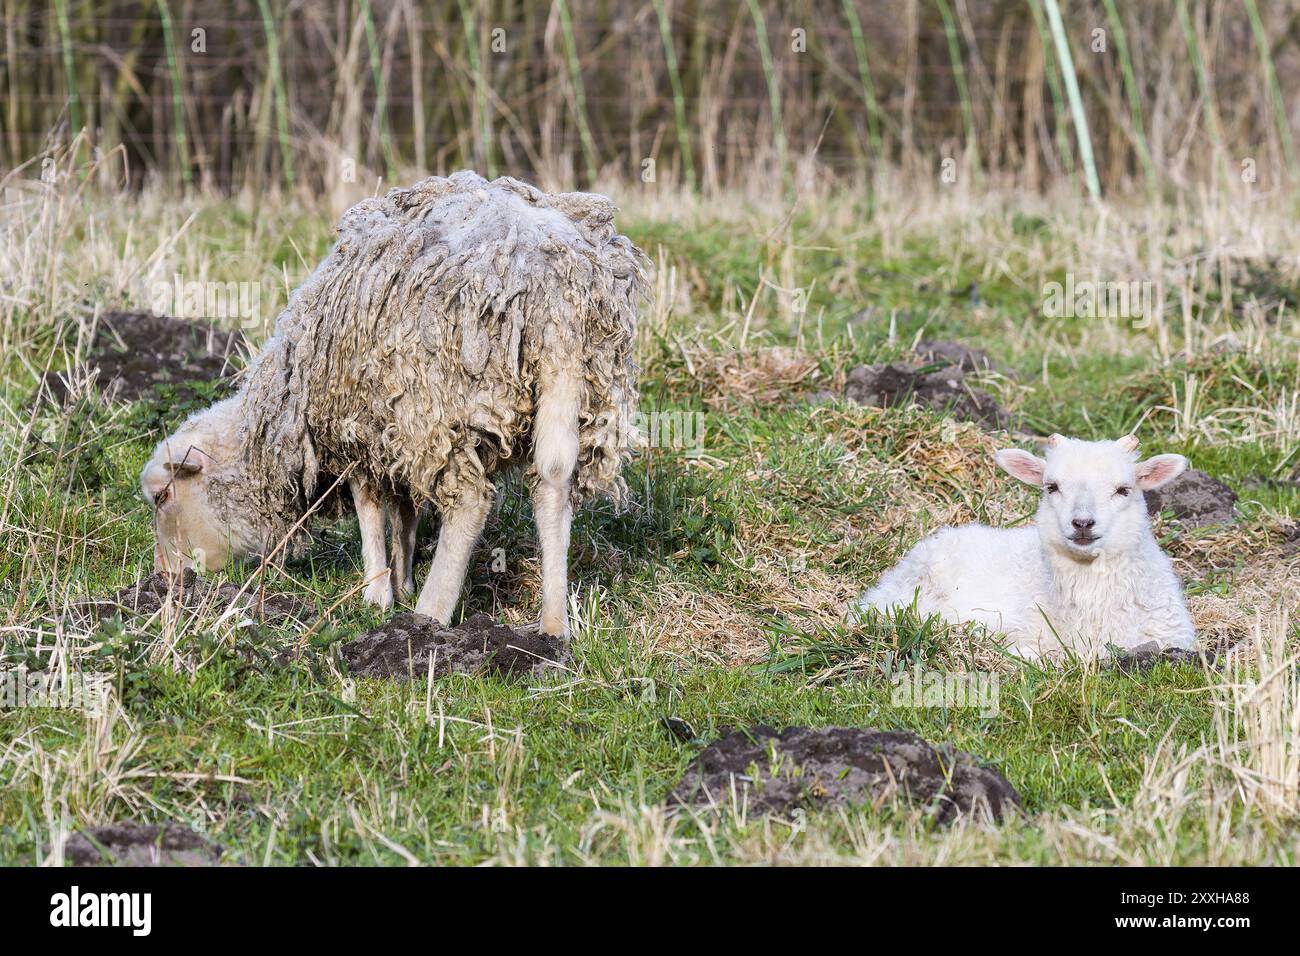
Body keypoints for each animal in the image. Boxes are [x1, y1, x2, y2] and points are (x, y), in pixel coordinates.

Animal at [141, 172, 645, 636]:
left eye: (162, 497)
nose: (164, 578)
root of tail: (554, 284)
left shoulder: (358, 427)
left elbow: (370, 509)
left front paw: (378, 593)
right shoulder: (391, 431)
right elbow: (404, 509)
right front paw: (401, 577)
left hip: (437, 396)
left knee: (470, 501)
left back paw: (429, 615)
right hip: (584, 390)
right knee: (552, 485)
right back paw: (554, 626)